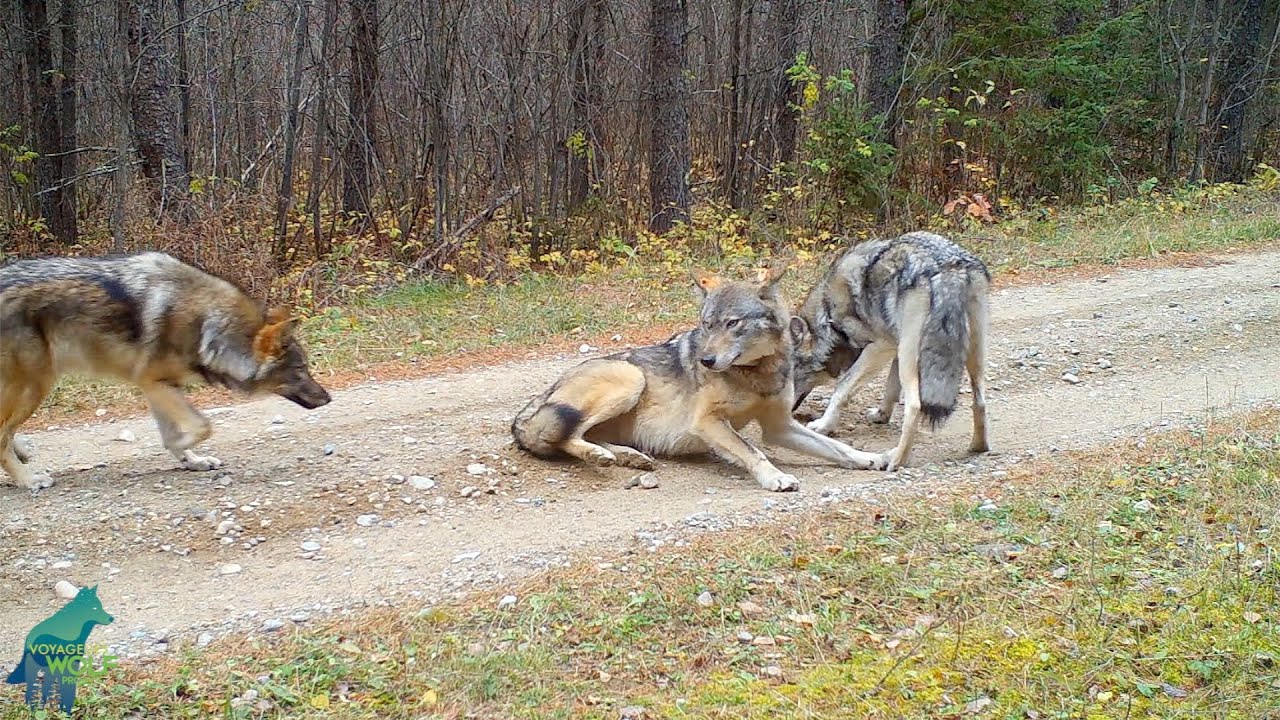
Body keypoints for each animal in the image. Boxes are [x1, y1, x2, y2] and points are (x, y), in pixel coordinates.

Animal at [0, 252, 332, 490]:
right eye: (301, 369)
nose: (328, 398)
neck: (212, 327)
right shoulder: (153, 382)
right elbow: (202, 426)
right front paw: (180, 449)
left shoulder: (159, 385)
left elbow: (178, 431)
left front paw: (192, 461)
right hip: (36, 386)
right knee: (3, 434)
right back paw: (28, 480)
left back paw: (24, 455)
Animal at [511, 265, 887, 491]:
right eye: (707, 324)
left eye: (733, 323)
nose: (705, 360)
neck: (753, 374)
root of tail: (533, 404)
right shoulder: (707, 422)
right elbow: (753, 451)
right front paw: (775, 477)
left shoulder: (779, 427)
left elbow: (836, 447)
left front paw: (868, 458)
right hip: (630, 379)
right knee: (564, 437)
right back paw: (600, 457)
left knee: (584, 437)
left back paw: (628, 456)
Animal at [790, 231, 991, 471]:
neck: (828, 316)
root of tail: (949, 266)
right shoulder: (894, 346)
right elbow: (890, 389)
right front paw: (881, 415)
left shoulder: (879, 347)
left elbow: (842, 388)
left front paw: (824, 425)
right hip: (969, 354)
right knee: (980, 402)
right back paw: (979, 446)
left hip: (910, 357)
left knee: (914, 405)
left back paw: (895, 461)